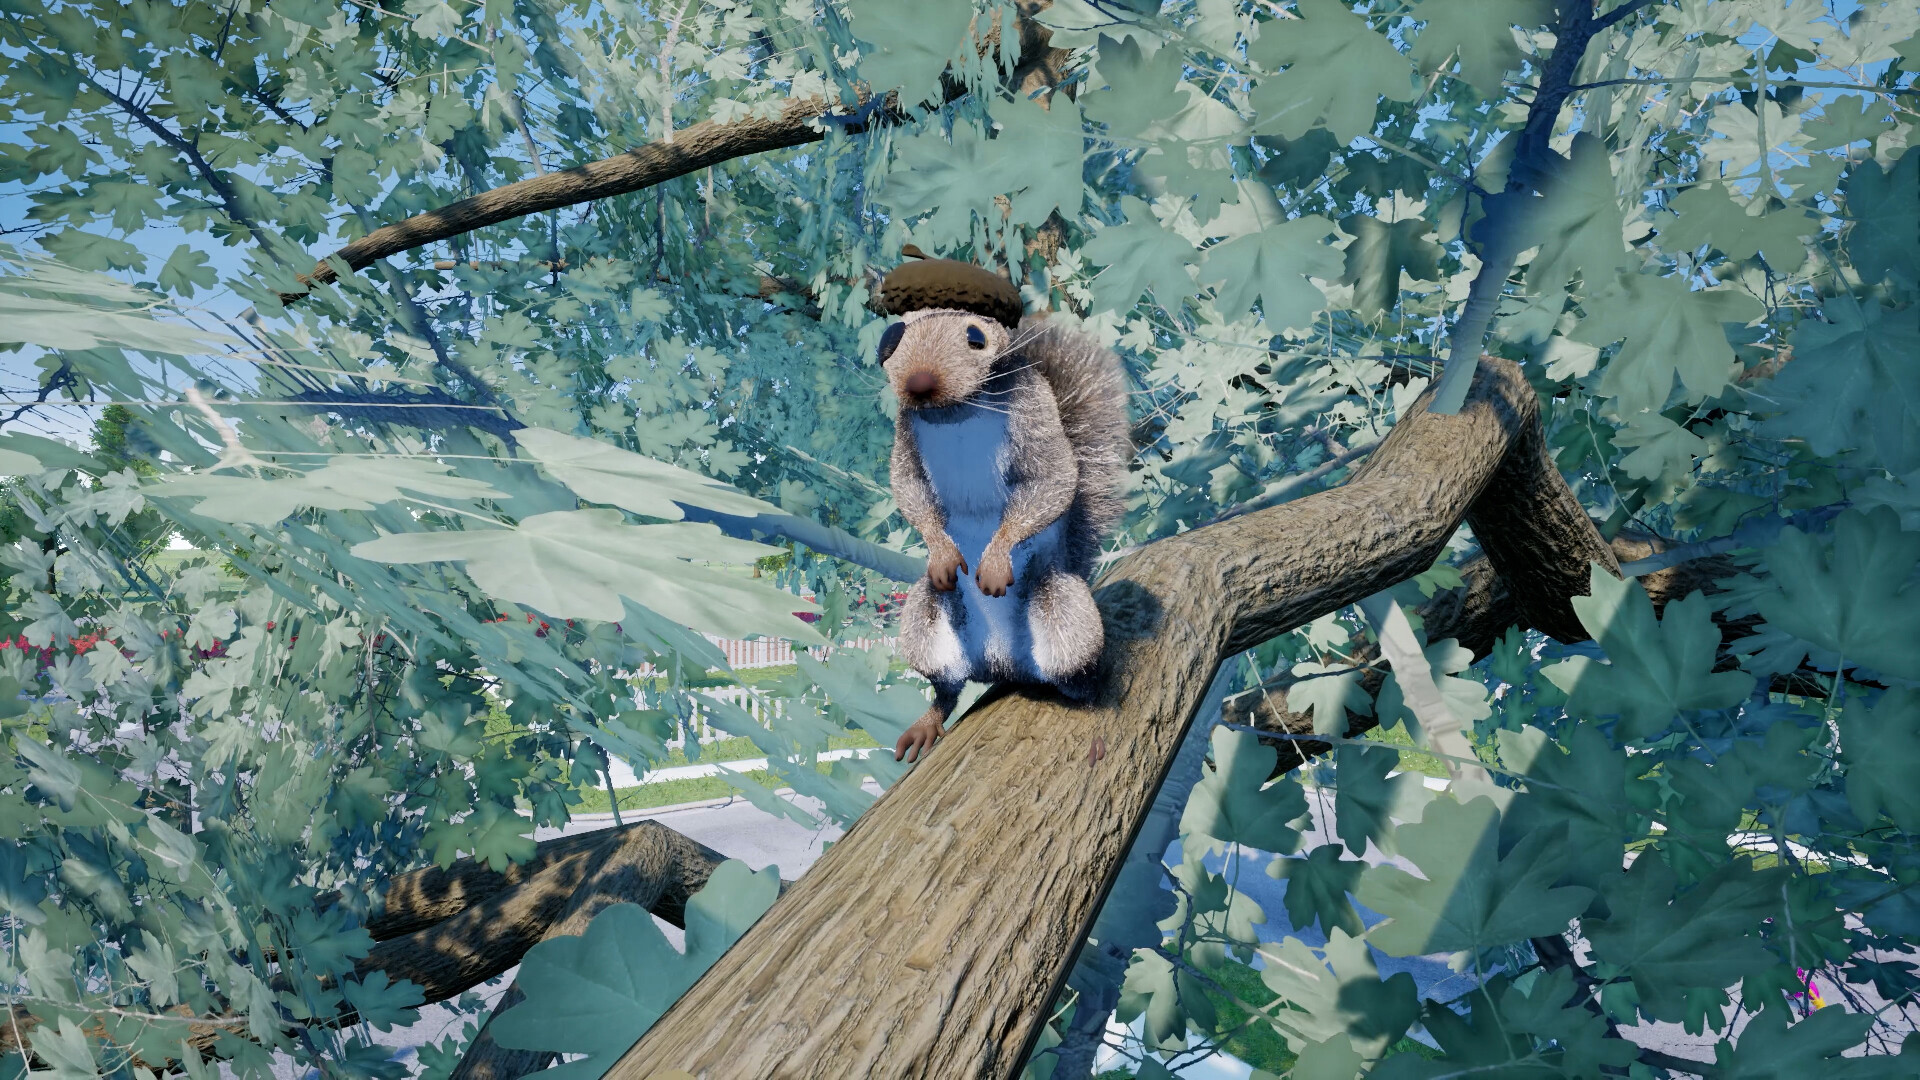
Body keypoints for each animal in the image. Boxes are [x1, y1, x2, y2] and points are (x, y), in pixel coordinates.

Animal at [875, 251, 1130, 763]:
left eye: (976, 336)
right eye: (889, 339)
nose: (918, 383)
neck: (956, 413)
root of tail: (1004, 666)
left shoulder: (1034, 410)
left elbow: (1052, 478)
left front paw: (994, 562)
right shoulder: (905, 435)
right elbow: (909, 488)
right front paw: (941, 552)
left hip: (1065, 619)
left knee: (1081, 678)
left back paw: (1094, 714)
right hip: (925, 622)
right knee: (946, 688)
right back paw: (928, 722)